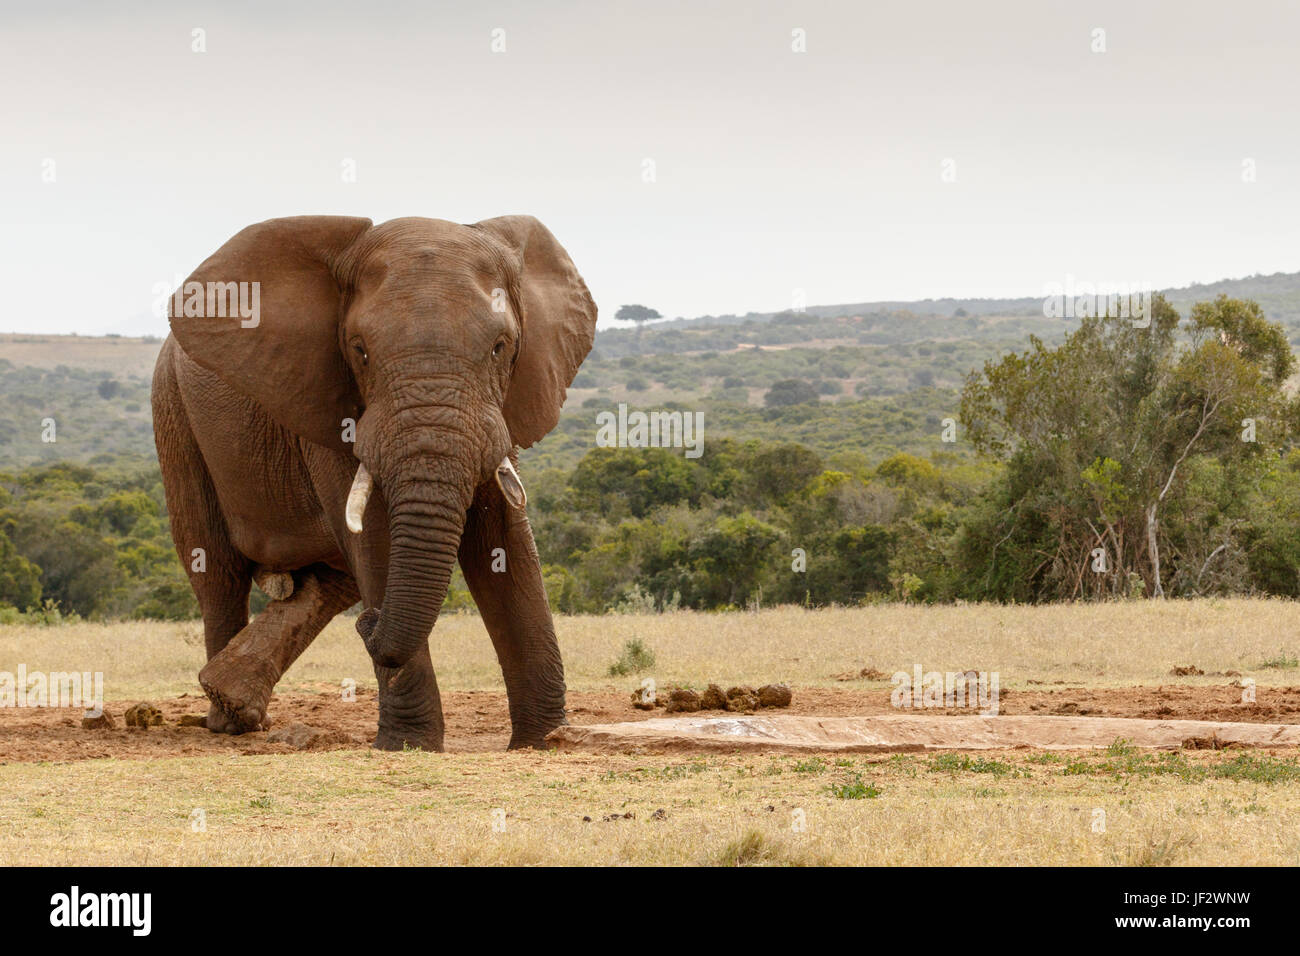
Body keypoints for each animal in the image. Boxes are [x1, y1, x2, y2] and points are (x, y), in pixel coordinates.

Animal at [151, 214, 597, 750]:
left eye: (500, 347)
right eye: (360, 351)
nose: (372, 622)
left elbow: (504, 539)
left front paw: (544, 739)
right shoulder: (328, 401)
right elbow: (377, 540)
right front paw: (410, 745)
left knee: (330, 576)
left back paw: (234, 696)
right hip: (173, 412)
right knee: (216, 571)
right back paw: (229, 721)